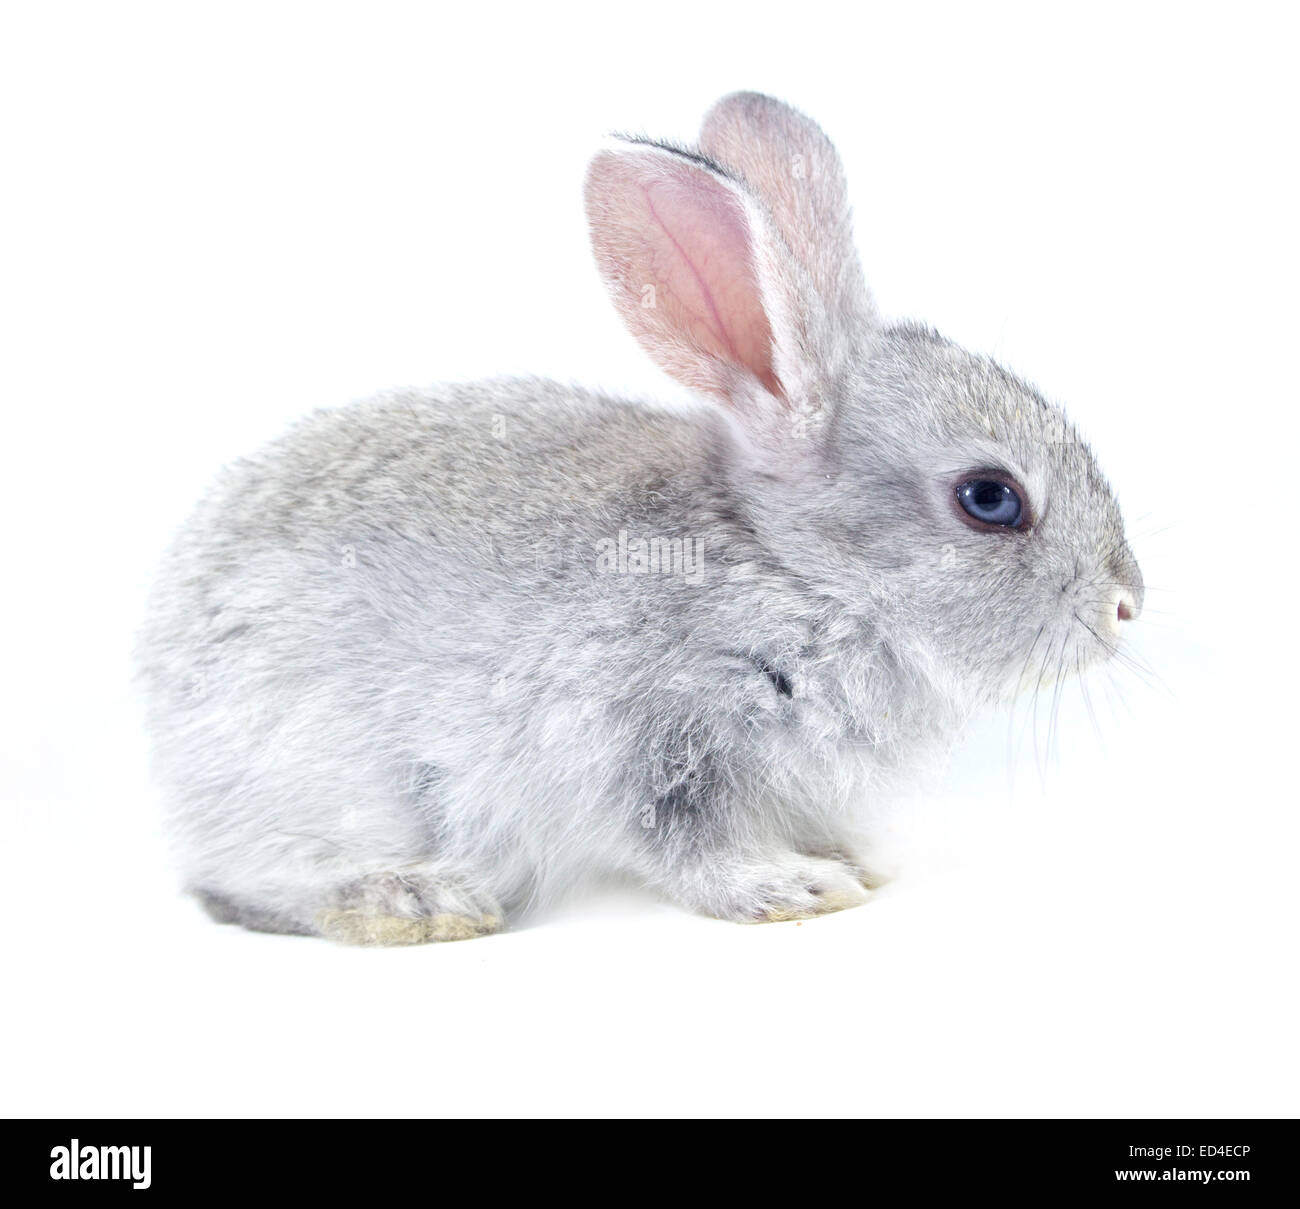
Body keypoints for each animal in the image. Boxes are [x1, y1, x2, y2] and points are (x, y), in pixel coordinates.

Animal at [136, 92, 1143, 945]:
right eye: (991, 499)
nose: (1126, 605)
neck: (798, 568)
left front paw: (850, 863)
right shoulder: (653, 740)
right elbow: (689, 843)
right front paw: (795, 887)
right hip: (322, 774)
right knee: (253, 881)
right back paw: (413, 899)